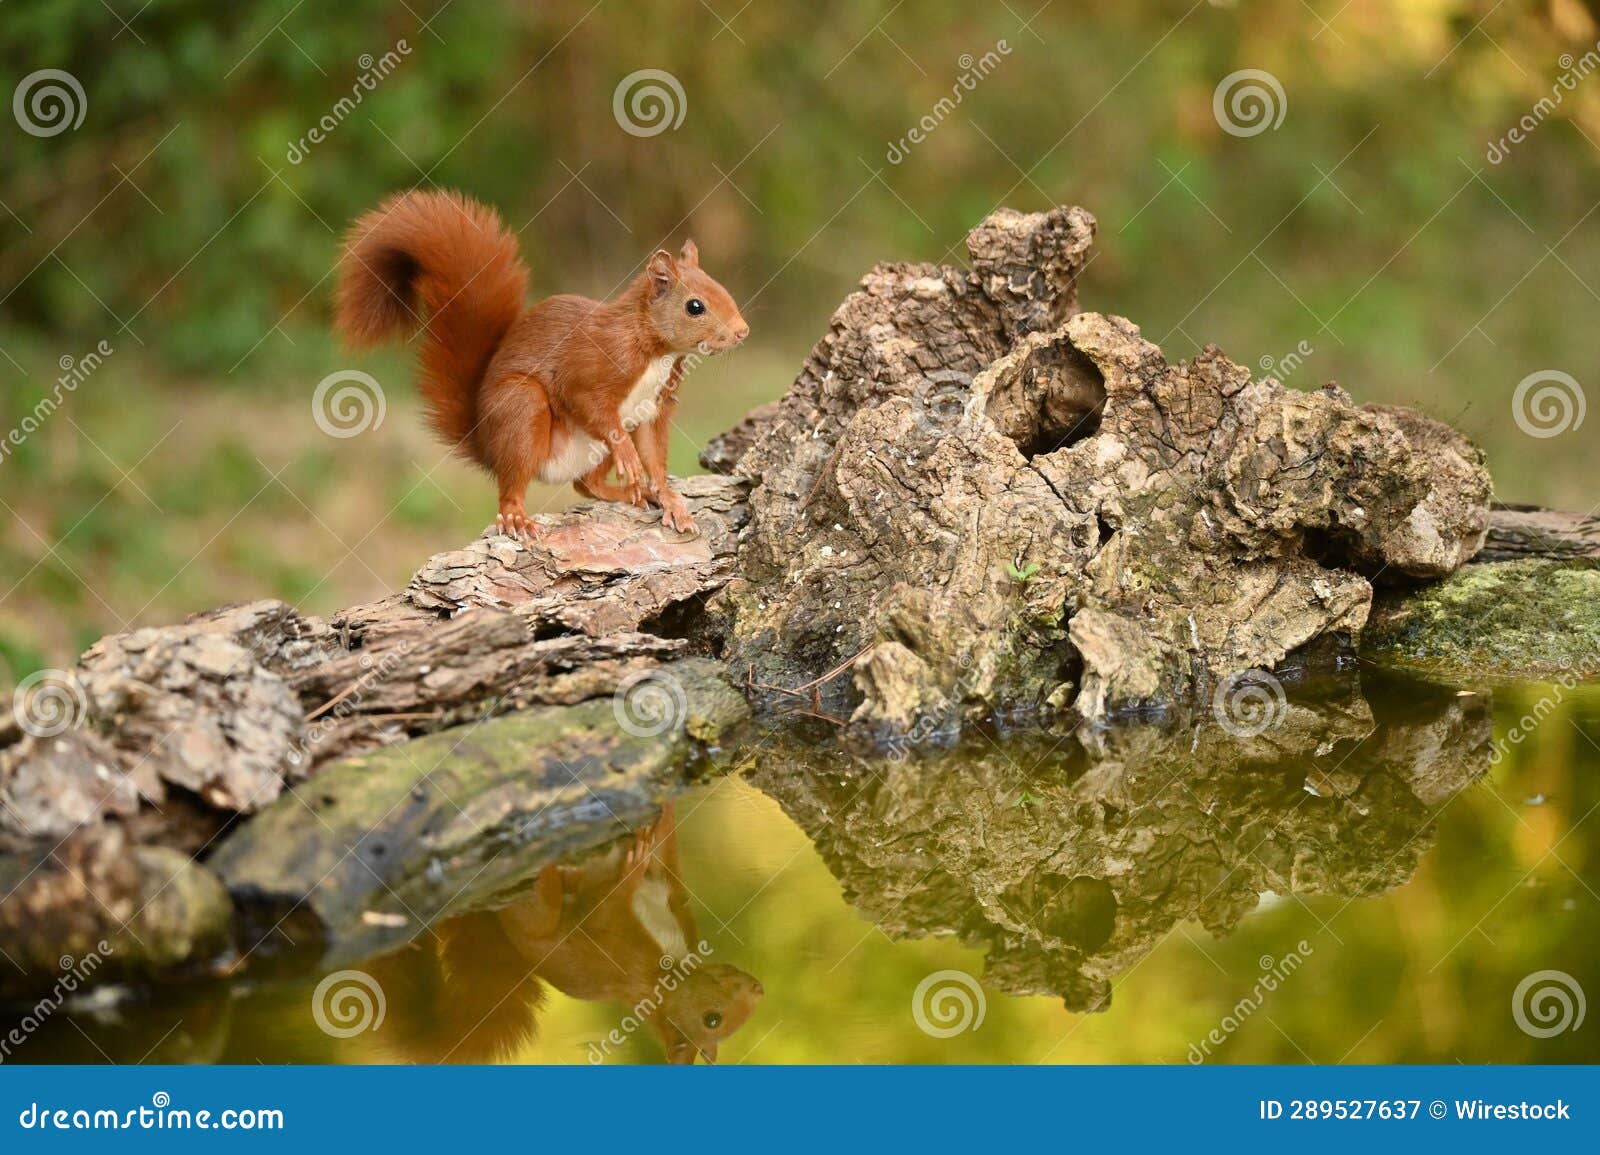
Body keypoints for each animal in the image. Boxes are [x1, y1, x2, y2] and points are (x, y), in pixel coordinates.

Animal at [333, 189, 749, 539]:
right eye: (695, 306)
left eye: (721, 287)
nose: (742, 332)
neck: (657, 353)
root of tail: (486, 442)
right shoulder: (591, 366)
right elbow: (590, 405)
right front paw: (628, 457)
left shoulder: (651, 408)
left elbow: (654, 455)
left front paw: (670, 500)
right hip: (522, 409)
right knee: (512, 483)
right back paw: (516, 515)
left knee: (585, 484)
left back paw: (633, 493)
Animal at [370, 804, 764, 1064]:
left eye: (713, 1022)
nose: (758, 990)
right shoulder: (670, 894)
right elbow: (663, 852)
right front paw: (662, 817)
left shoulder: (622, 949)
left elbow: (606, 906)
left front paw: (632, 866)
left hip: (533, 919)